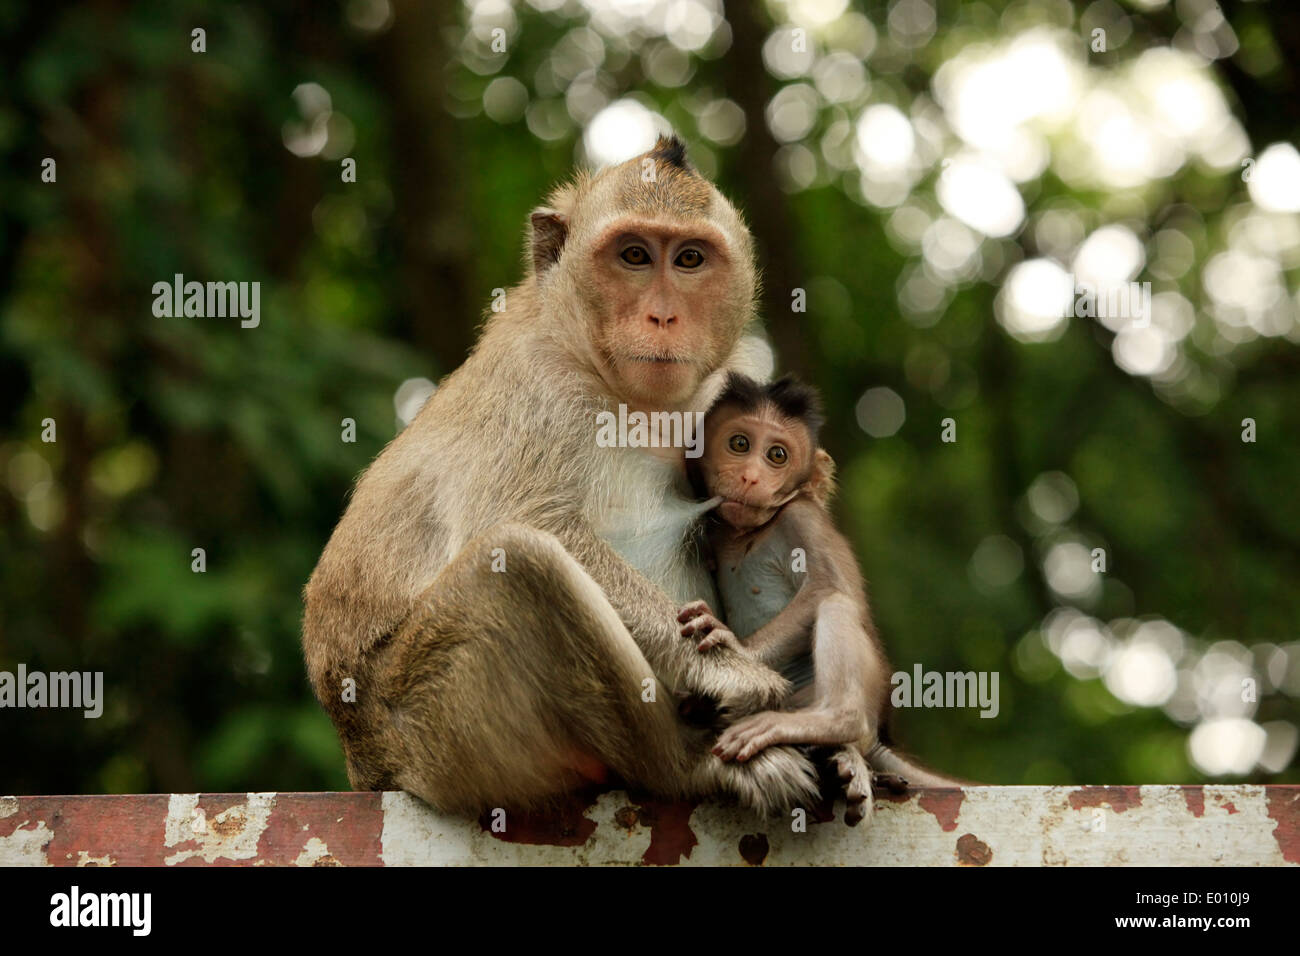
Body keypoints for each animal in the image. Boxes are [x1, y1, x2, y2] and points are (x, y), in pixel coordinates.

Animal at [302, 136, 825, 820]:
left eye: (688, 259)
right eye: (634, 256)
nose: (663, 317)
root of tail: (361, 758)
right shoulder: (542, 390)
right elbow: (527, 524)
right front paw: (729, 669)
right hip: (425, 725)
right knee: (522, 566)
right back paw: (691, 766)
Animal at [676, 373, 960, 824]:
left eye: (777, 455)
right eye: (739, 444)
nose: (751, 477)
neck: (748, 533)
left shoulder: (801, 517)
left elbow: (826, 586)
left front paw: (732, 644)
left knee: (837, 605)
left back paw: (837, 724)